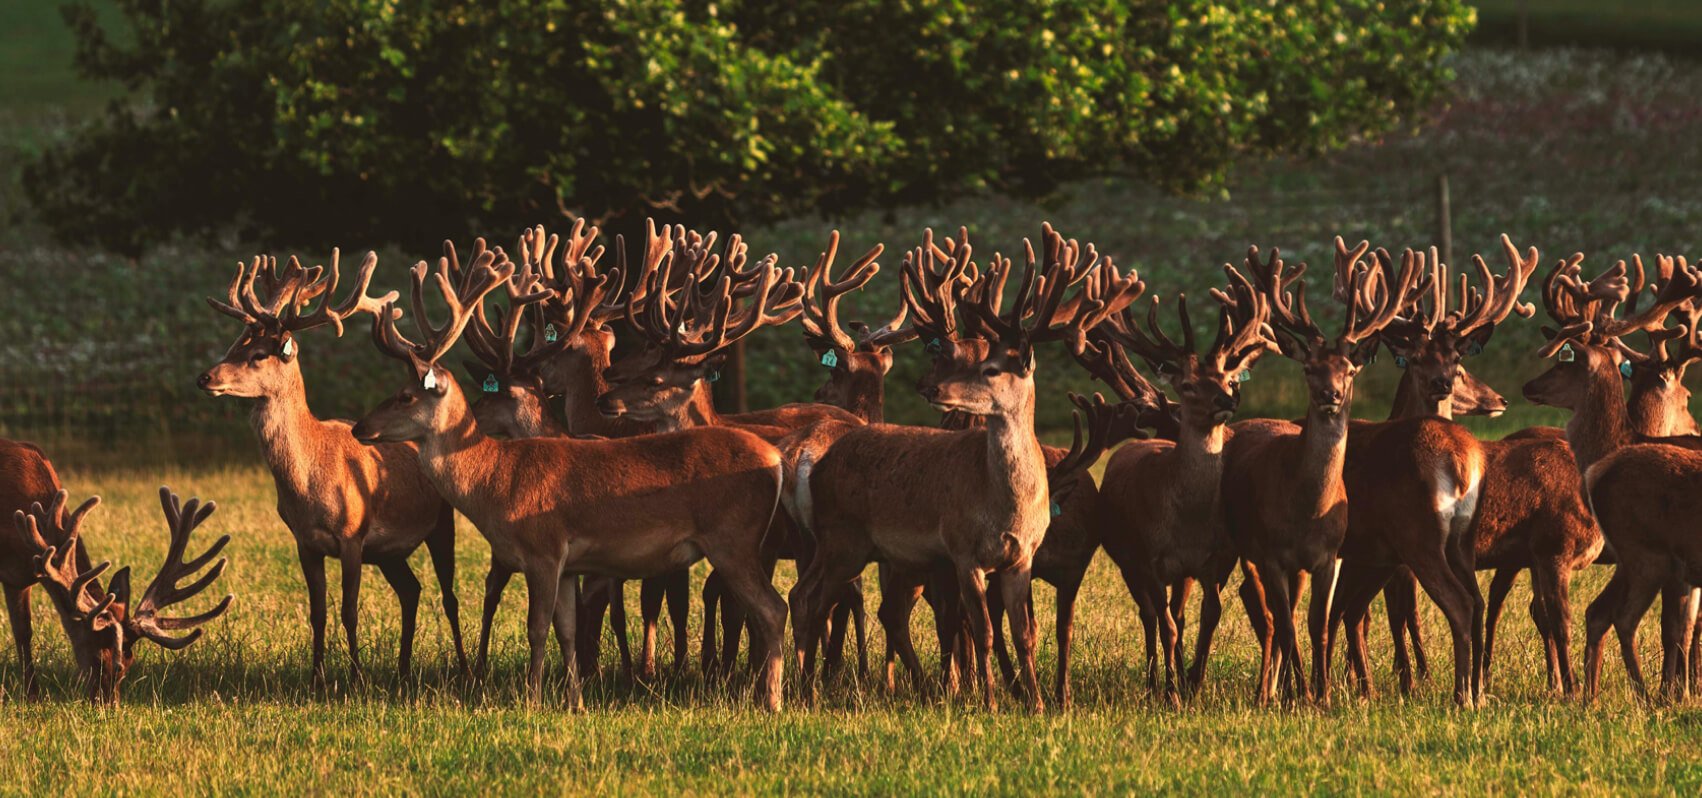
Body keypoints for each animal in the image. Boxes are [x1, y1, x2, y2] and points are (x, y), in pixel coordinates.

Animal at [10, 487, 232, 703]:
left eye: (130, 660)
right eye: (96, 658)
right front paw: (31, 696)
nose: (108, 703)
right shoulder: (13, 577)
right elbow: (22, 631)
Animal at [198, 249, 468, 684]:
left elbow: (349, 611)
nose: (205, 377)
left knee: (449, 596)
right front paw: (316, 678)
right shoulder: (305, 542)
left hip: (442, 522)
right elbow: (318, 613)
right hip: (389, 552)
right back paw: (402, 668)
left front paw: (355, 677)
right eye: (233, 346)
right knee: (411, 591)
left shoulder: (352, 534)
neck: (307, 483)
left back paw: (463, 667)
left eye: (258, 355)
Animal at [351, 247, 791, 710]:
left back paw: (772, 700)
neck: (495, 483)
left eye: (405, 396)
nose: (359, 427)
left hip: (732, 537)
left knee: (773, 608)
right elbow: (567, 630)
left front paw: (532, 699)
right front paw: (575, 701)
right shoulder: (565, 566)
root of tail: (775, 459)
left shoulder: (543, 549)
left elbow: (537, 627)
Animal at [789, 222, 1141, 712]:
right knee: (809, 597)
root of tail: (818, 462)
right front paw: (988, 701)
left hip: (856, 548)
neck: (1004, 504)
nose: (932, 388)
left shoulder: (1020, 557)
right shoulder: (961, 550)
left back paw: (809, 687)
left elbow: (1024, 634)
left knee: (824, 600)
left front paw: (1035, 703)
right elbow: (984, 631)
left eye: (991, 369)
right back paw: (802, 690)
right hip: (843, 538)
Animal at [1222, 240, 1418, 705]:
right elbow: (1290, 624)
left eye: (1348, 369)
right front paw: (1304, 693)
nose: (1331, 394)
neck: (1307, 511)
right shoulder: (1273, 554)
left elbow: (1317, 624)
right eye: (1309, 368)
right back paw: (1270, 692)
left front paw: (1323, 693)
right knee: (1269, 612)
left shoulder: (1330, 556)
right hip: (1244, 545)